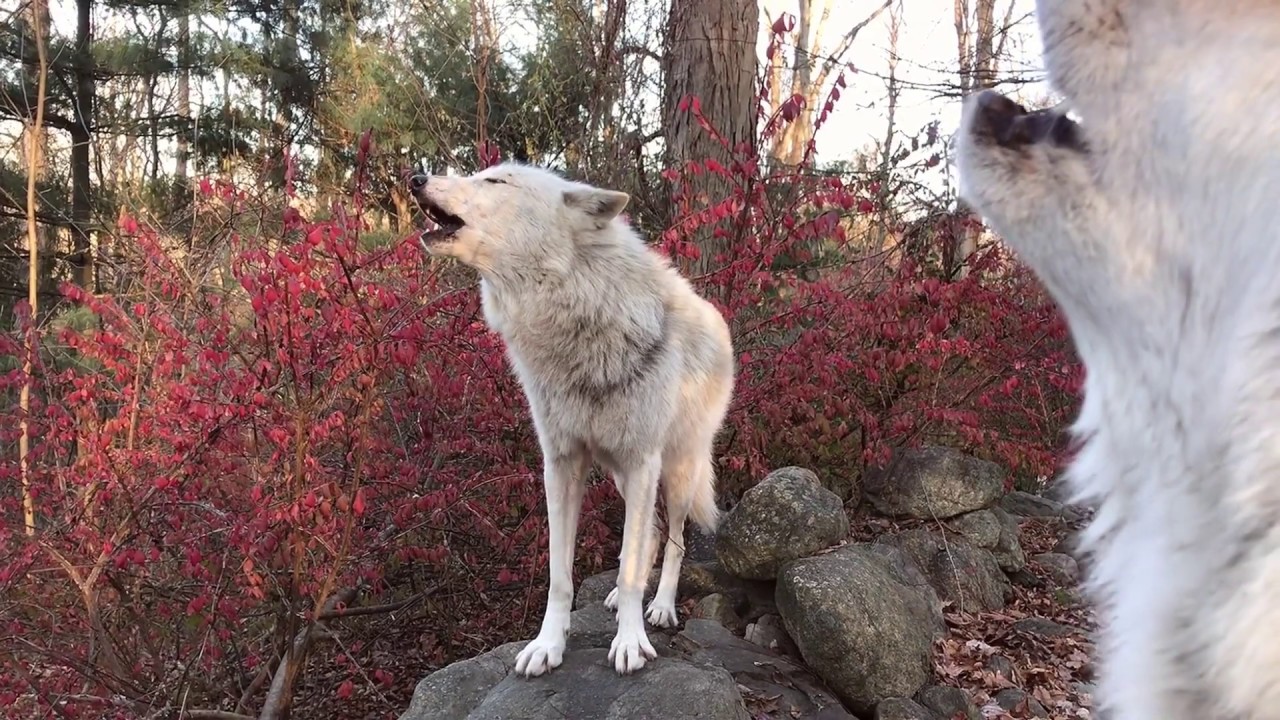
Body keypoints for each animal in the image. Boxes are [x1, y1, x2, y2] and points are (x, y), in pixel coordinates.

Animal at [407, 163, 735, 677]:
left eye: (497, 181)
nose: (416, 177)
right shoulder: (561, 465)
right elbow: (560, 575)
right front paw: (548, 645)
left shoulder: (642, 460)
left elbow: (637, 564)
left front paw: (630, 641)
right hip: (622, 476)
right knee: (650, 533)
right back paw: (620, 596)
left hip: (677, 472)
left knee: (677, 539)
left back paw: (660, 607)